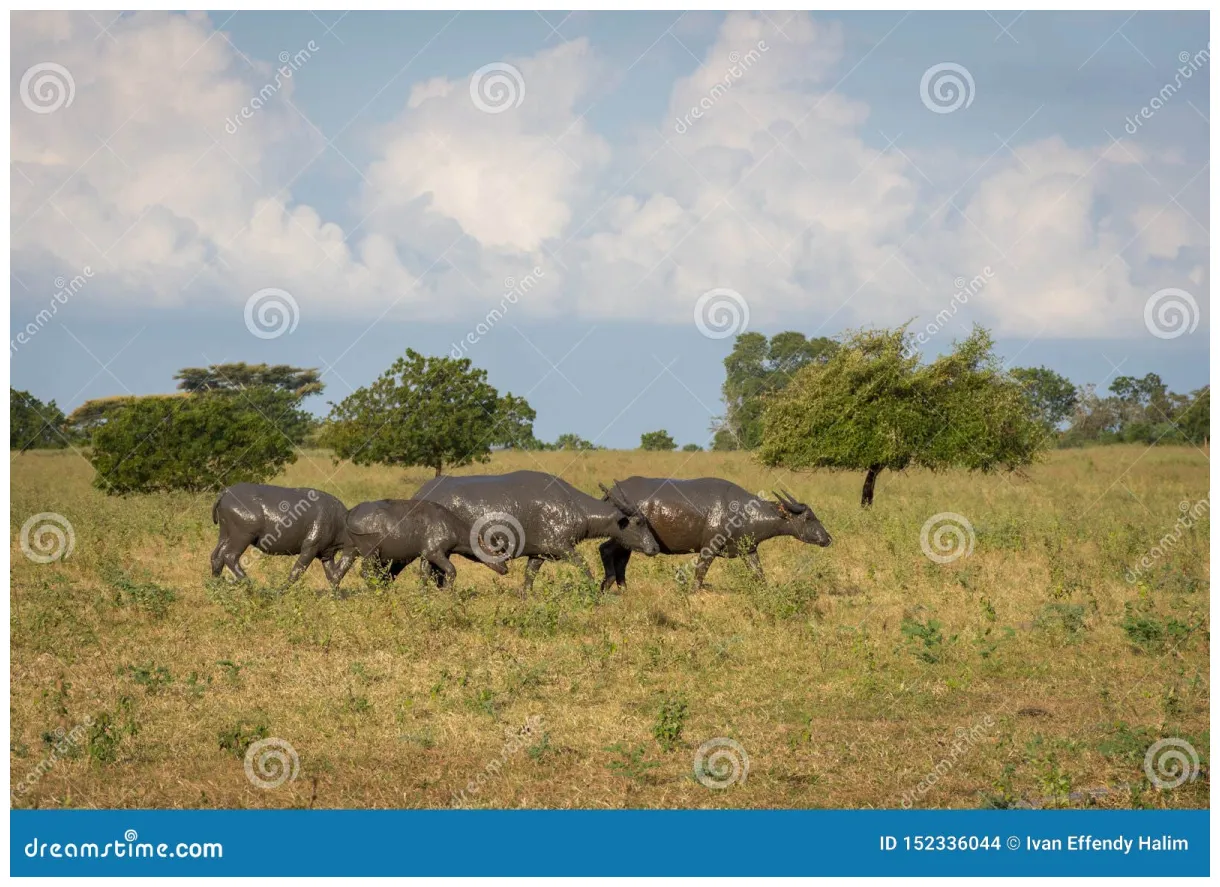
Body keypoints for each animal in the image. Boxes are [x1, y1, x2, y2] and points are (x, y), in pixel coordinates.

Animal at [414, 470, 660, 593]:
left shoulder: (539, 554)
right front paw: (593, 590)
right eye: (639, 522)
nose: (655, 547)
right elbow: (584, 567)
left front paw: (526, 596)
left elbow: (529, 576)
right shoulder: (563, 548)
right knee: (426, 570)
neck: (573, 506)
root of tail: (421, 493)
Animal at [597, 477, 831, 591]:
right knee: (605, 549)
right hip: (623, 538)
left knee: (620, 560)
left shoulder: (749, 551)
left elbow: (759, 575)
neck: (742, 512)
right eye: (808, 518)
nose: (827, 538)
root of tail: (612, 493)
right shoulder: (708, 548)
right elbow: (699, 575)